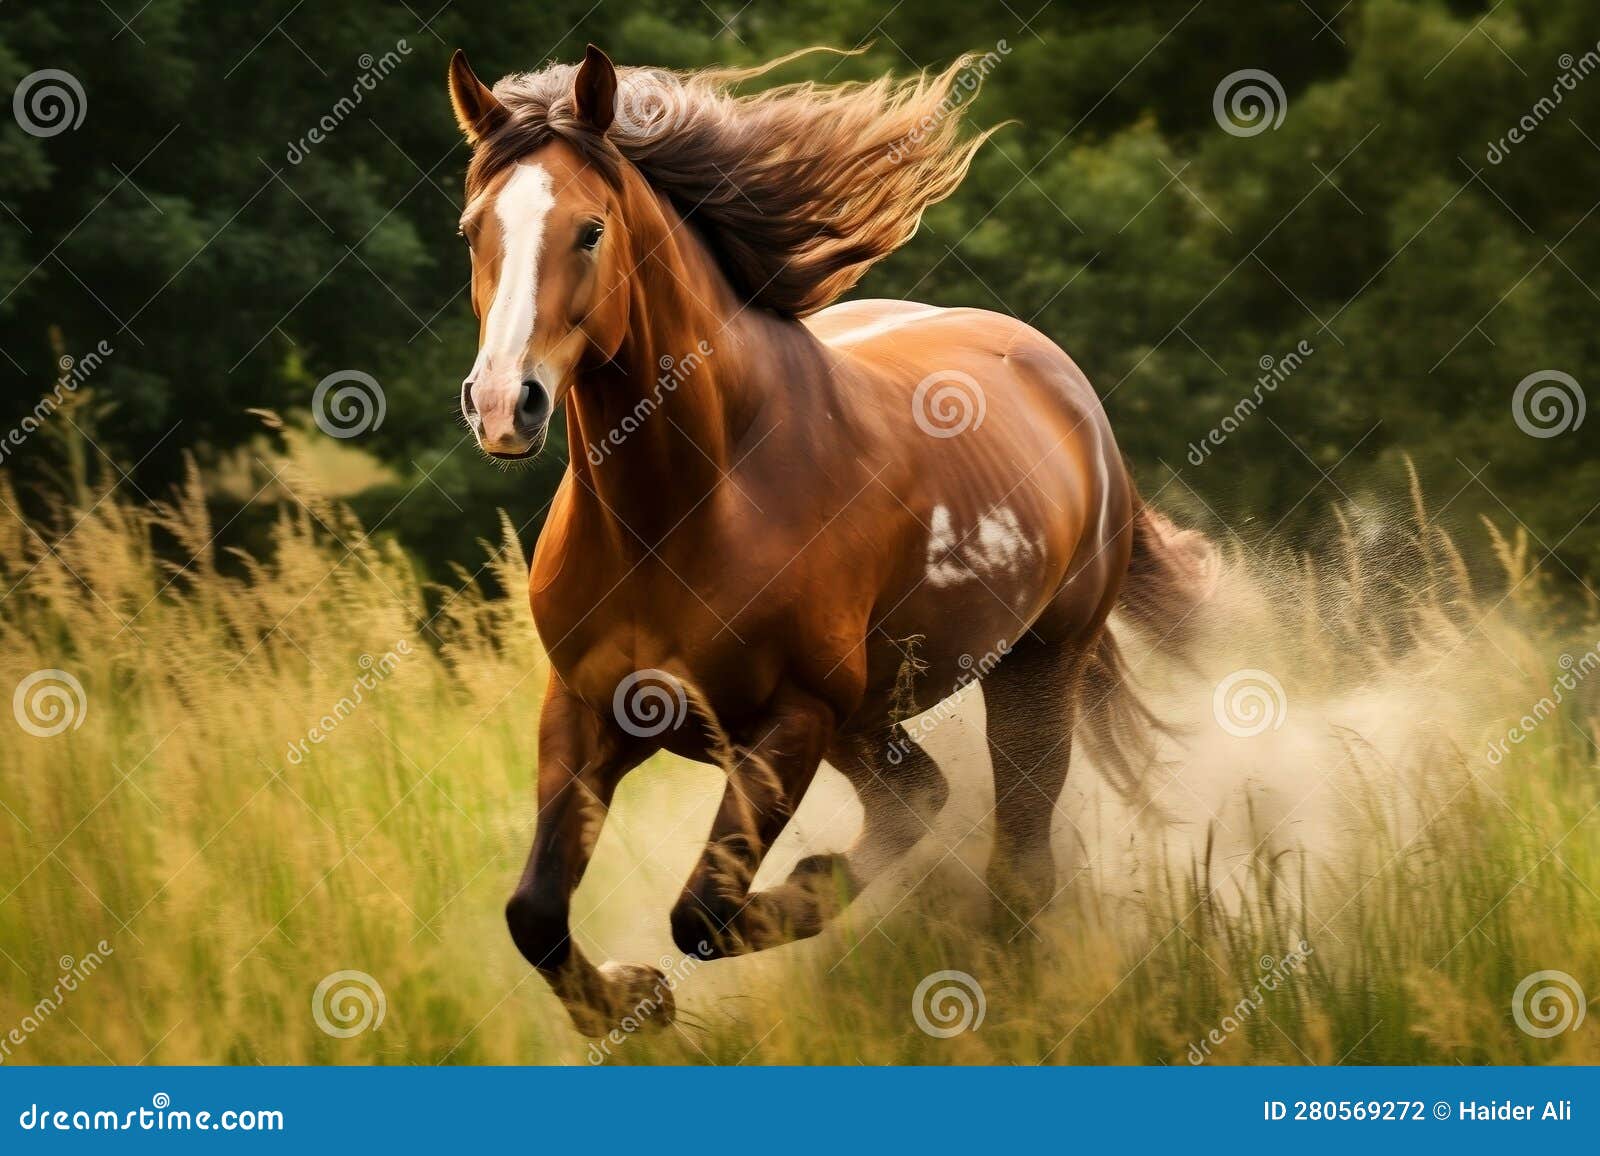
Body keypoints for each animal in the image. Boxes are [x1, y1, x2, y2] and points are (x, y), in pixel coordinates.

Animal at [447, 44, 1215, 1036]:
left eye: (589, 230)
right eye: (472, 230)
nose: (507, 404)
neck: (673, 515)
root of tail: (1067, 385)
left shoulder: (792, 719)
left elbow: (704, 913)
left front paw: (700, 956)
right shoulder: (586, 709)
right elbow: (535, 913)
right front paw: (633, 999)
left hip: (1034, 669)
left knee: (1014, 861)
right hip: (870, 718)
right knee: (919, 799)